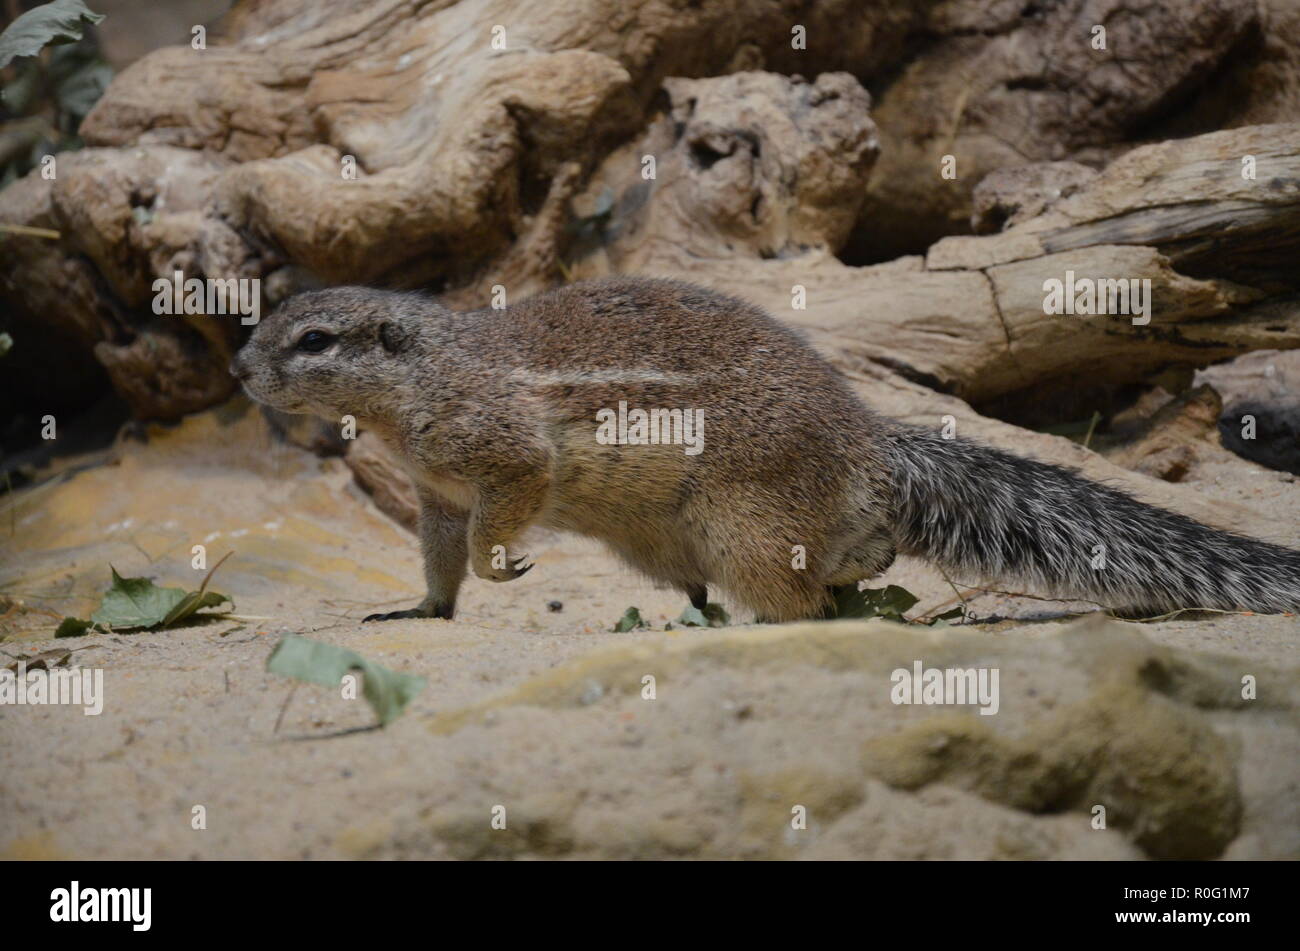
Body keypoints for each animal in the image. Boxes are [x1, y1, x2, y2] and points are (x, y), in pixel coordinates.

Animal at [231, 276, 1300, 622]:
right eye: (271, 319)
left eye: (314, 340)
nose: (240, 368)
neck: (429, 374)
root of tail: (869, 438)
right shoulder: (438, 494)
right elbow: (438, 560)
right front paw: (420, 609)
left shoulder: (504, 456)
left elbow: (503, 520)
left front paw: (504, 569)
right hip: (674, 539)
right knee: (852, 559)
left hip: (741, 517)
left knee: (800, 601)